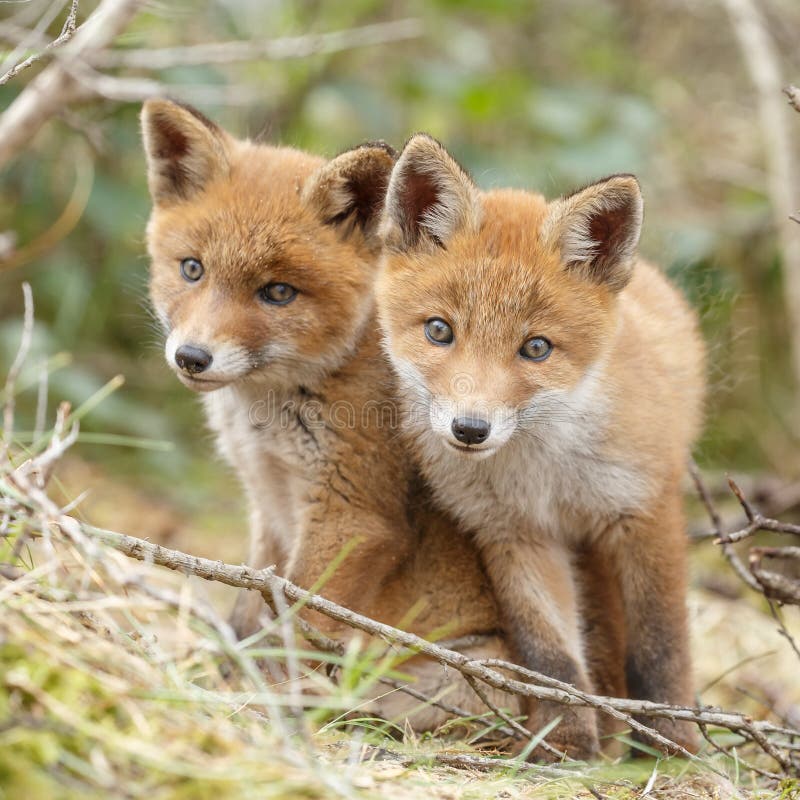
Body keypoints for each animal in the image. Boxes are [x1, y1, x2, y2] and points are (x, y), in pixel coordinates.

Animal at [140, 100, 628, 745]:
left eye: (277, 293)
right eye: (192, 270)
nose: (192, 358)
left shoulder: (354, 516)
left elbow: (298, 623)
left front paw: (262, 698)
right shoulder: (269, 507)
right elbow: (251, 611)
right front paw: (228, 675)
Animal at [374, 134, 706, 759]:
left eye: (536, 348)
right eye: (438, 331)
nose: (470, 429)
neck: (547, 472)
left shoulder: (645, 513)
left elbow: (661, 649)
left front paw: (675, 751)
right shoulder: (515, 533)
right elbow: (552, 659)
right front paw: (566, 745)